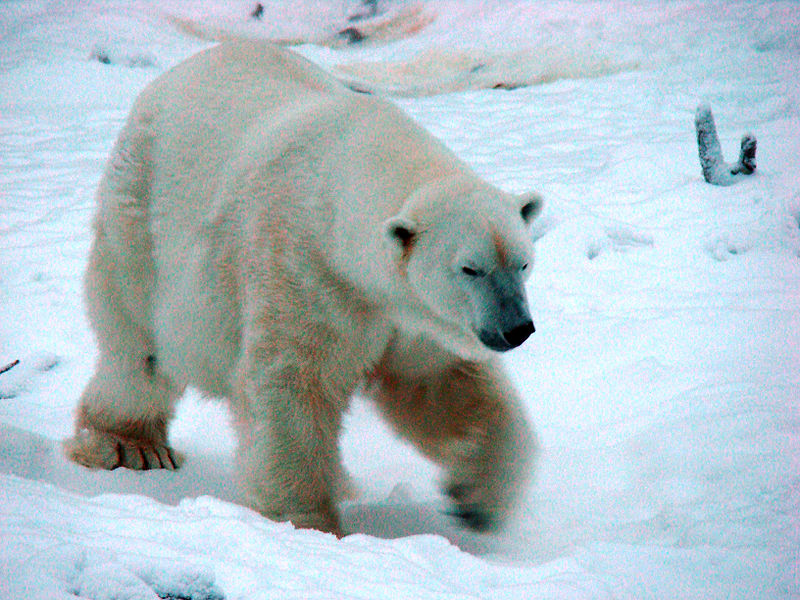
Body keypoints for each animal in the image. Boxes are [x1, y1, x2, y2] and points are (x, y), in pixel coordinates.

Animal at [64, 41, 542, 536]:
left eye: (523, 262)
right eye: (470, 269)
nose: (517, 328)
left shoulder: (406, 312)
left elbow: (440, 382)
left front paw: (477, 499)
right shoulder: (306, 266)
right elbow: (292, 383)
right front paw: (310, 523)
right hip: (143, 216)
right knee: (139, 346)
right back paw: (132, 445)